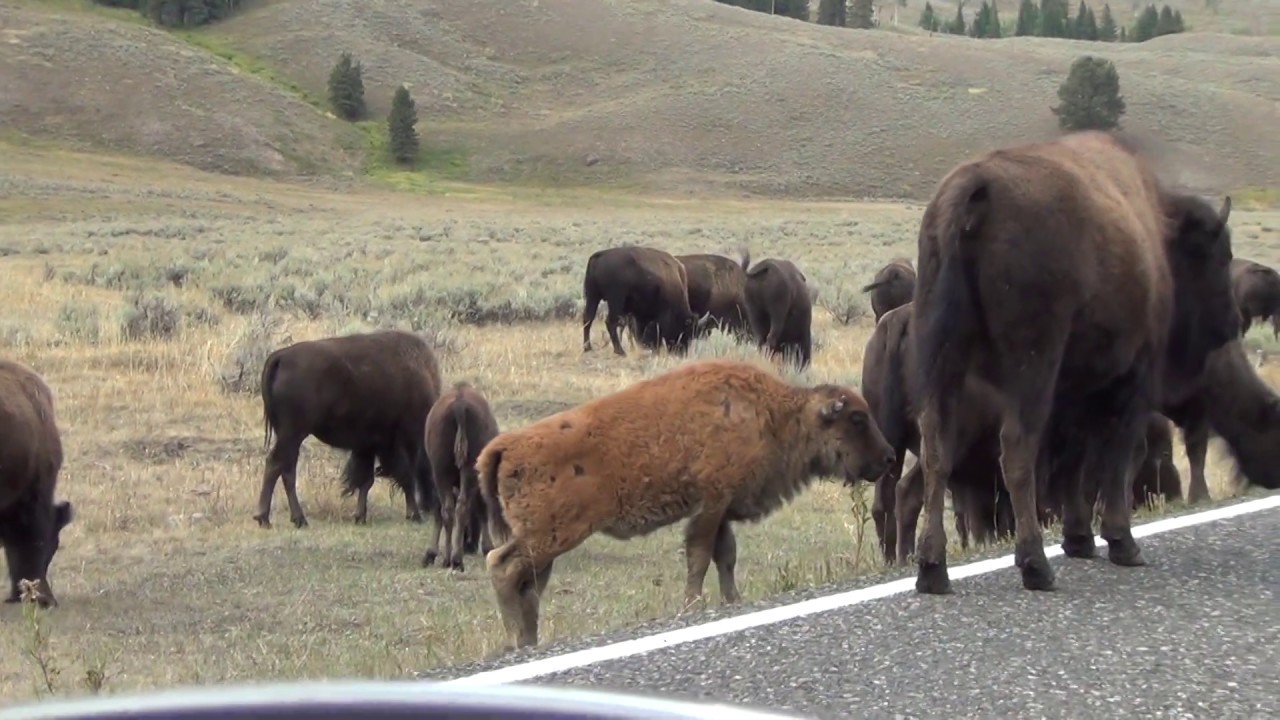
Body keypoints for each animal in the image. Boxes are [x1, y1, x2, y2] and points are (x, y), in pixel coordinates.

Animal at [254, 330, 443, 529]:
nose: (431, 508)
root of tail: (281, 357)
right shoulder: (399, 441)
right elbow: (406, 476)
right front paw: (414, 514)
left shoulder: (368, 446)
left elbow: (366, 480)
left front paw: (360, 517)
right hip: (293, 434)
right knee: (276, 464)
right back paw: (268, 518)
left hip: (289, 436)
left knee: (286, 469)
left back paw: (295, 519)